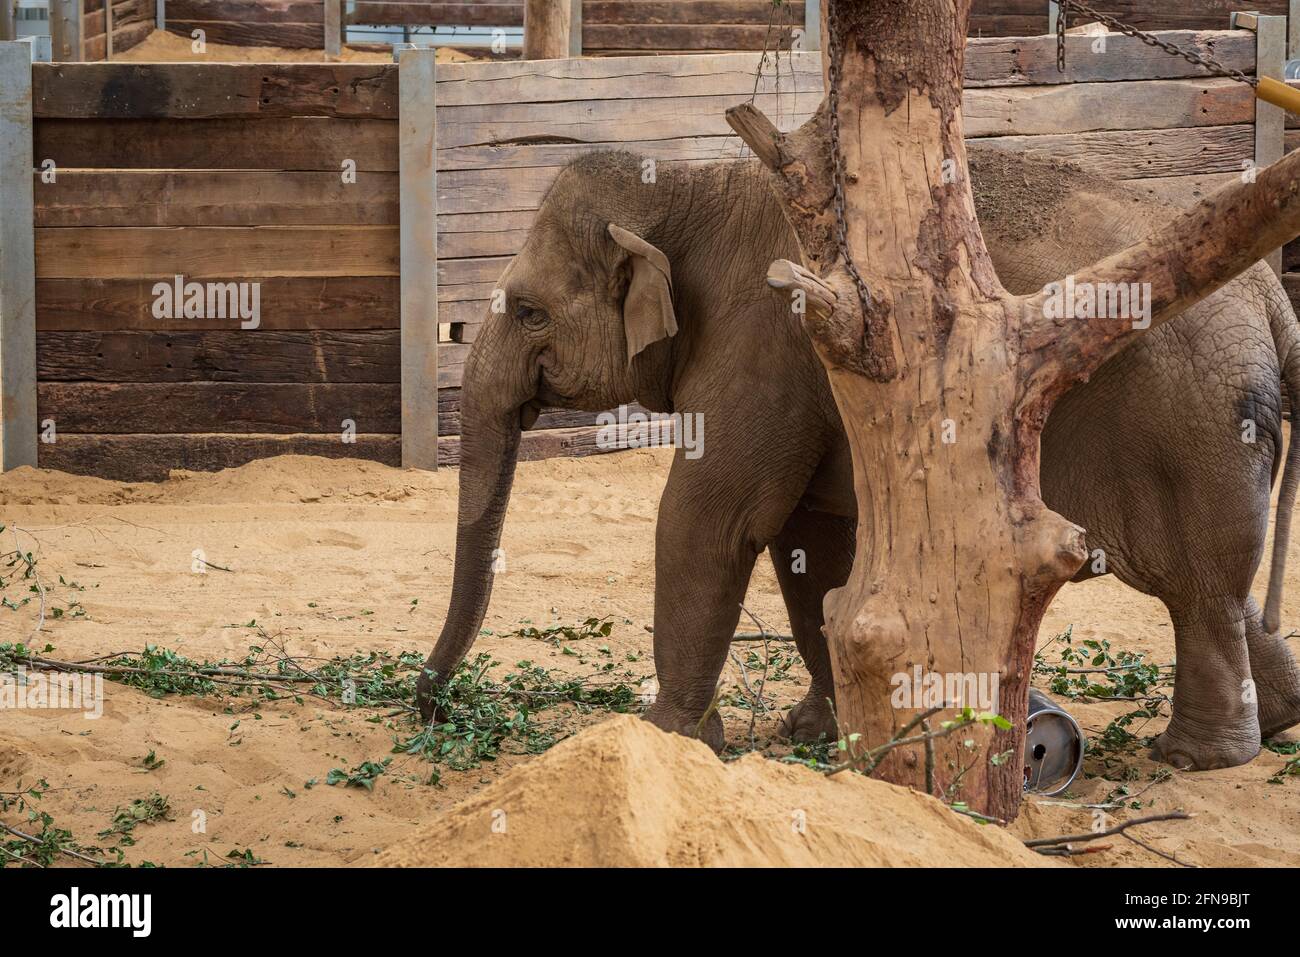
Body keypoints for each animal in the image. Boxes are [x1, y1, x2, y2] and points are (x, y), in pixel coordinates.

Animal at [416, 146, 1300, 772]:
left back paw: (1196, 756)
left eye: (528, 311)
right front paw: (819, 729)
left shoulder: (765, 338)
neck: (694, 183)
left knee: (1195, 587)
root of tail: (1271, 295)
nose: (430, 706)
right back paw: (1282, 718)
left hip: (1188, 431)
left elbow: (715, 518)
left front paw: (668, 737)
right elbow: (807, 542)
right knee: (1225, 590)